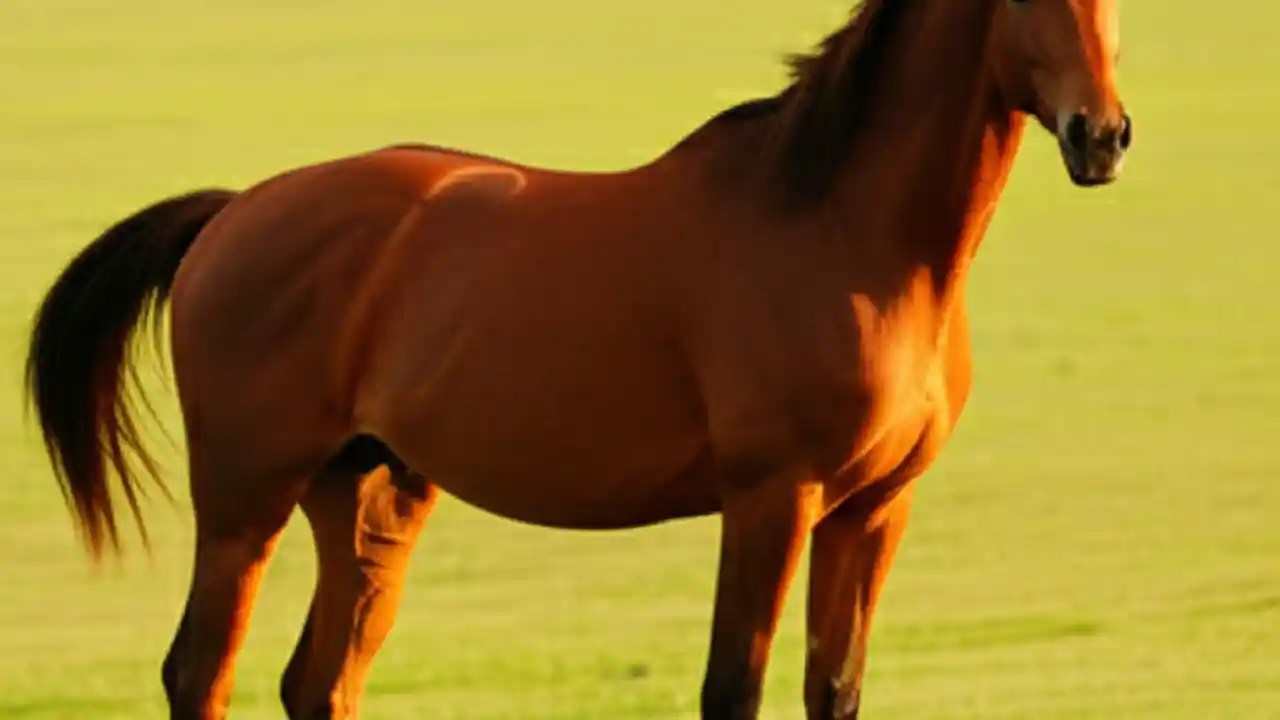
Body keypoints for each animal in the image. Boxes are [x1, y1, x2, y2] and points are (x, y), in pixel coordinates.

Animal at [25, 0, 1129, 717]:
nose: (1102, 135)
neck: (837, 230)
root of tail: (234, 211)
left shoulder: (874, 510)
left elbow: (836, 688)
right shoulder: (773, 500)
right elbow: (733, 688)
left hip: (368, 495)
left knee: (321, 680)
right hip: (244, 502)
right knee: (199, 672)